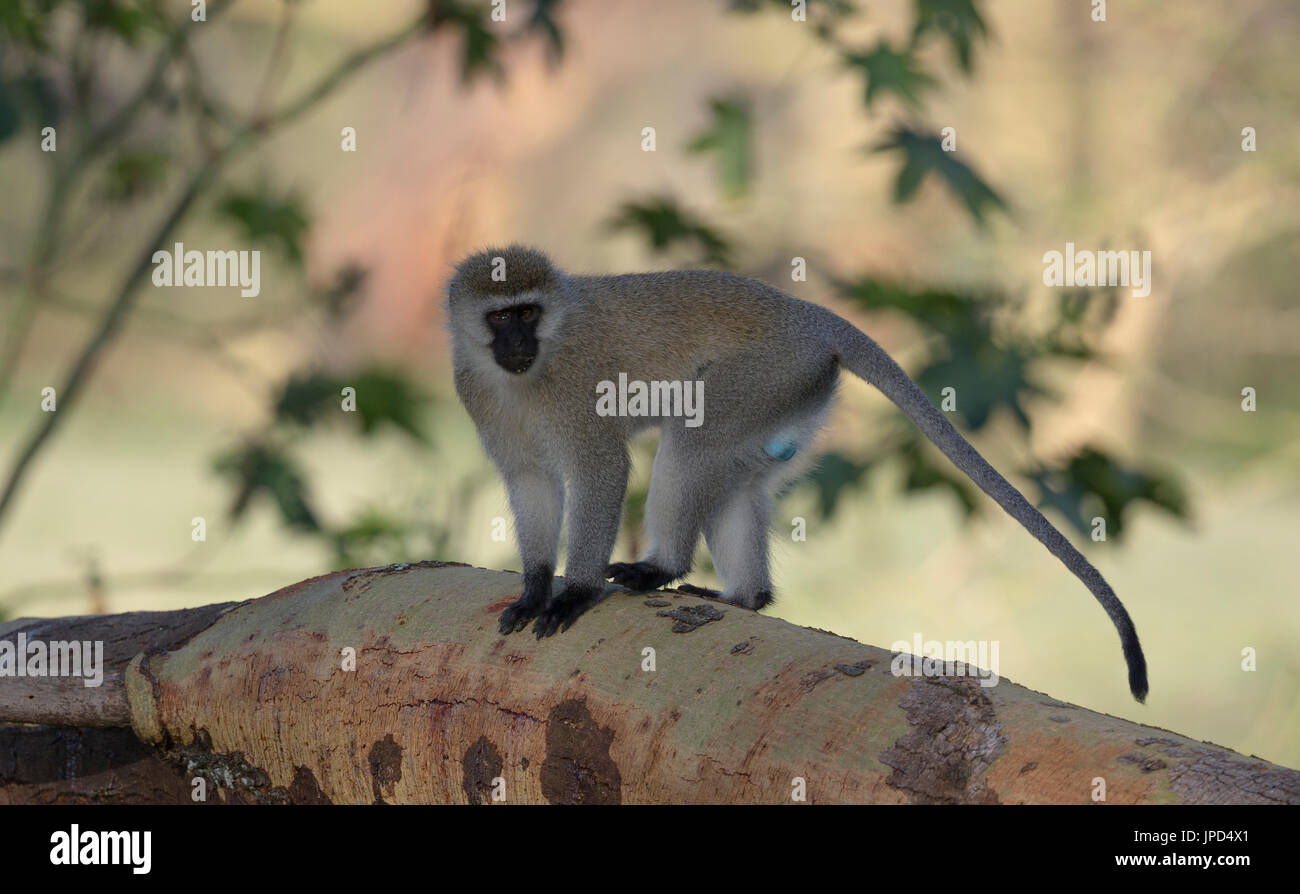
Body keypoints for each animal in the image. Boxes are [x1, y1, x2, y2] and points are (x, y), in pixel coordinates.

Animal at [446, 245, 1148, 702]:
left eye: (528, 313)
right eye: (500, 317)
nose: (517, 346)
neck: (526, 375)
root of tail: (806, 315)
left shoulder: (574, 394)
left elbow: (601, 471)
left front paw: (576, 592)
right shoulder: (478, 398)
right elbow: (531, 484)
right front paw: (535, 587)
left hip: (770, 370)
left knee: (694, 442)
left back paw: (662, 567)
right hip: (792, 390)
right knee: (734, 478)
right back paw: (745, 597)